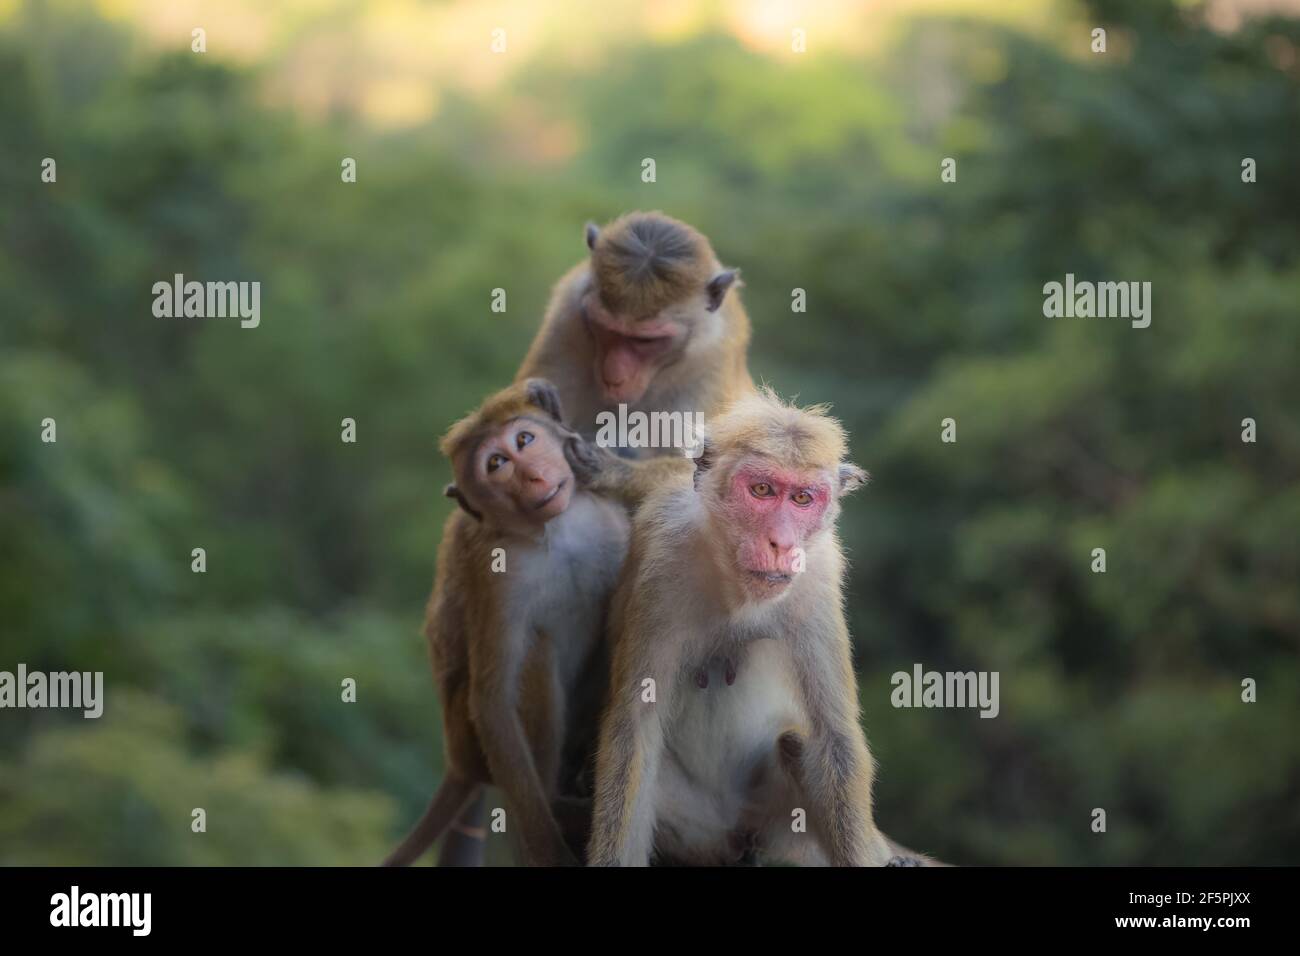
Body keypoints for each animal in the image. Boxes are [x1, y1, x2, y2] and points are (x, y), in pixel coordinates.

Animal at [383, 379, 629, 867]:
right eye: (496, 465)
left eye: (524, 441)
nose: (533, 476)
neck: (558, 533)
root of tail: (457, 763)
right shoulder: (501, 575)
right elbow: (493, 698)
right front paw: (545, 846)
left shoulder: (611, 522)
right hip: (470, 739)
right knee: (536, 655)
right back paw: (558, 805)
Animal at [516, 211, 755, 457]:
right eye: (606, 328)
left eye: (645, 340)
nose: (613, 377)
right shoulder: (567, 317)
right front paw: (538, 394)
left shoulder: (709, 370)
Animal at [584, 388, 927, 867]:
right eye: (762, 490)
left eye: (803, 498)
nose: (781, 544)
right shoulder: (663, 567)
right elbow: (633, 732)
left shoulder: (817, 577)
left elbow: (833, 738)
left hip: (783, 826)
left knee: (794, 745)